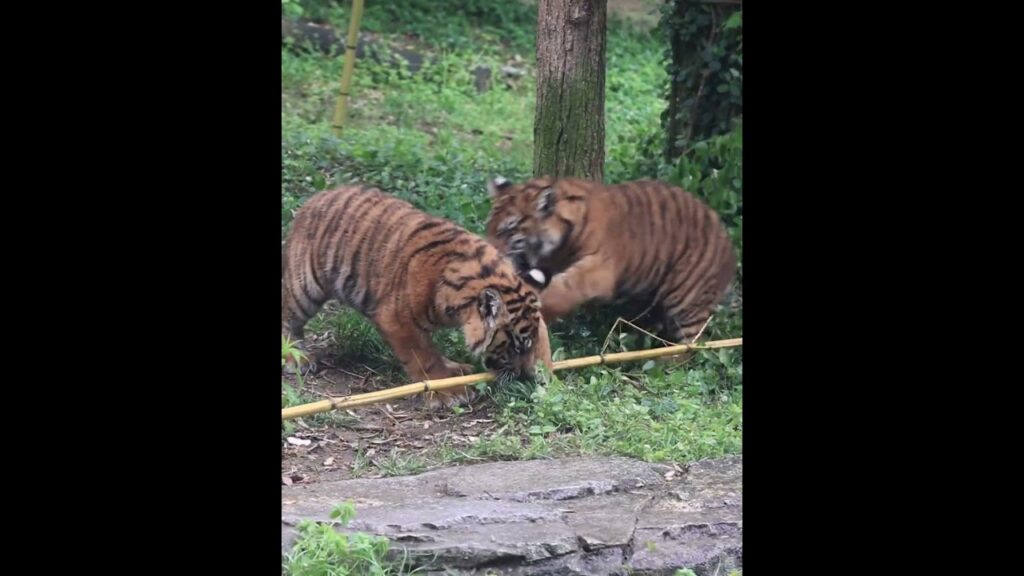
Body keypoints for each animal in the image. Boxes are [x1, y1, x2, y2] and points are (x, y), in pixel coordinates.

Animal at [282, 185, 553, 408]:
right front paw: (450, 392)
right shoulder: (398, 320)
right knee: (288, 317)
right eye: (515, 347)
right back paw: (296, 357)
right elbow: (425, 358)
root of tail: (316, 197)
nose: (525, 376)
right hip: (305, 285)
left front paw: (547, 373)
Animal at [485, 176, 737, 345]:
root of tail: (730, 248)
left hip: (686, 300)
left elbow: (563, 290)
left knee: (689, 345)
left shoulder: (599, 270)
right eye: (490, 226)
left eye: (508, 230)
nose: (488, 251)